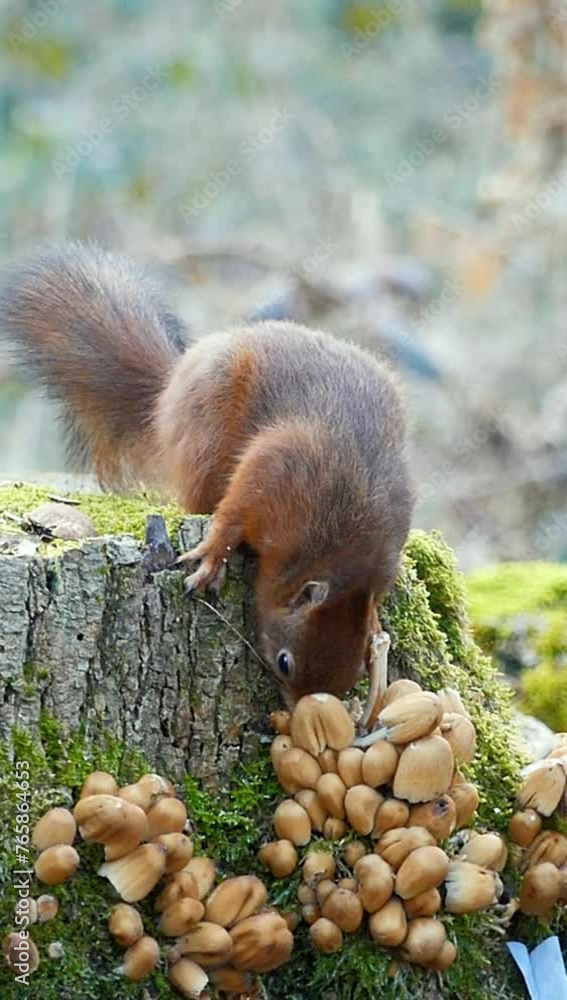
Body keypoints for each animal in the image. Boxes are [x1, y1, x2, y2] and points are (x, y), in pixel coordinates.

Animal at [0, 242, 414, 705]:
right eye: (285, 662)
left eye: (354, 673)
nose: (296, 709)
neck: (338, 549)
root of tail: (169, 390)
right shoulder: (277, 470)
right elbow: (232, 515)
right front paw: (213, 555)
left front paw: (375, 623)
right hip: (206, 433)